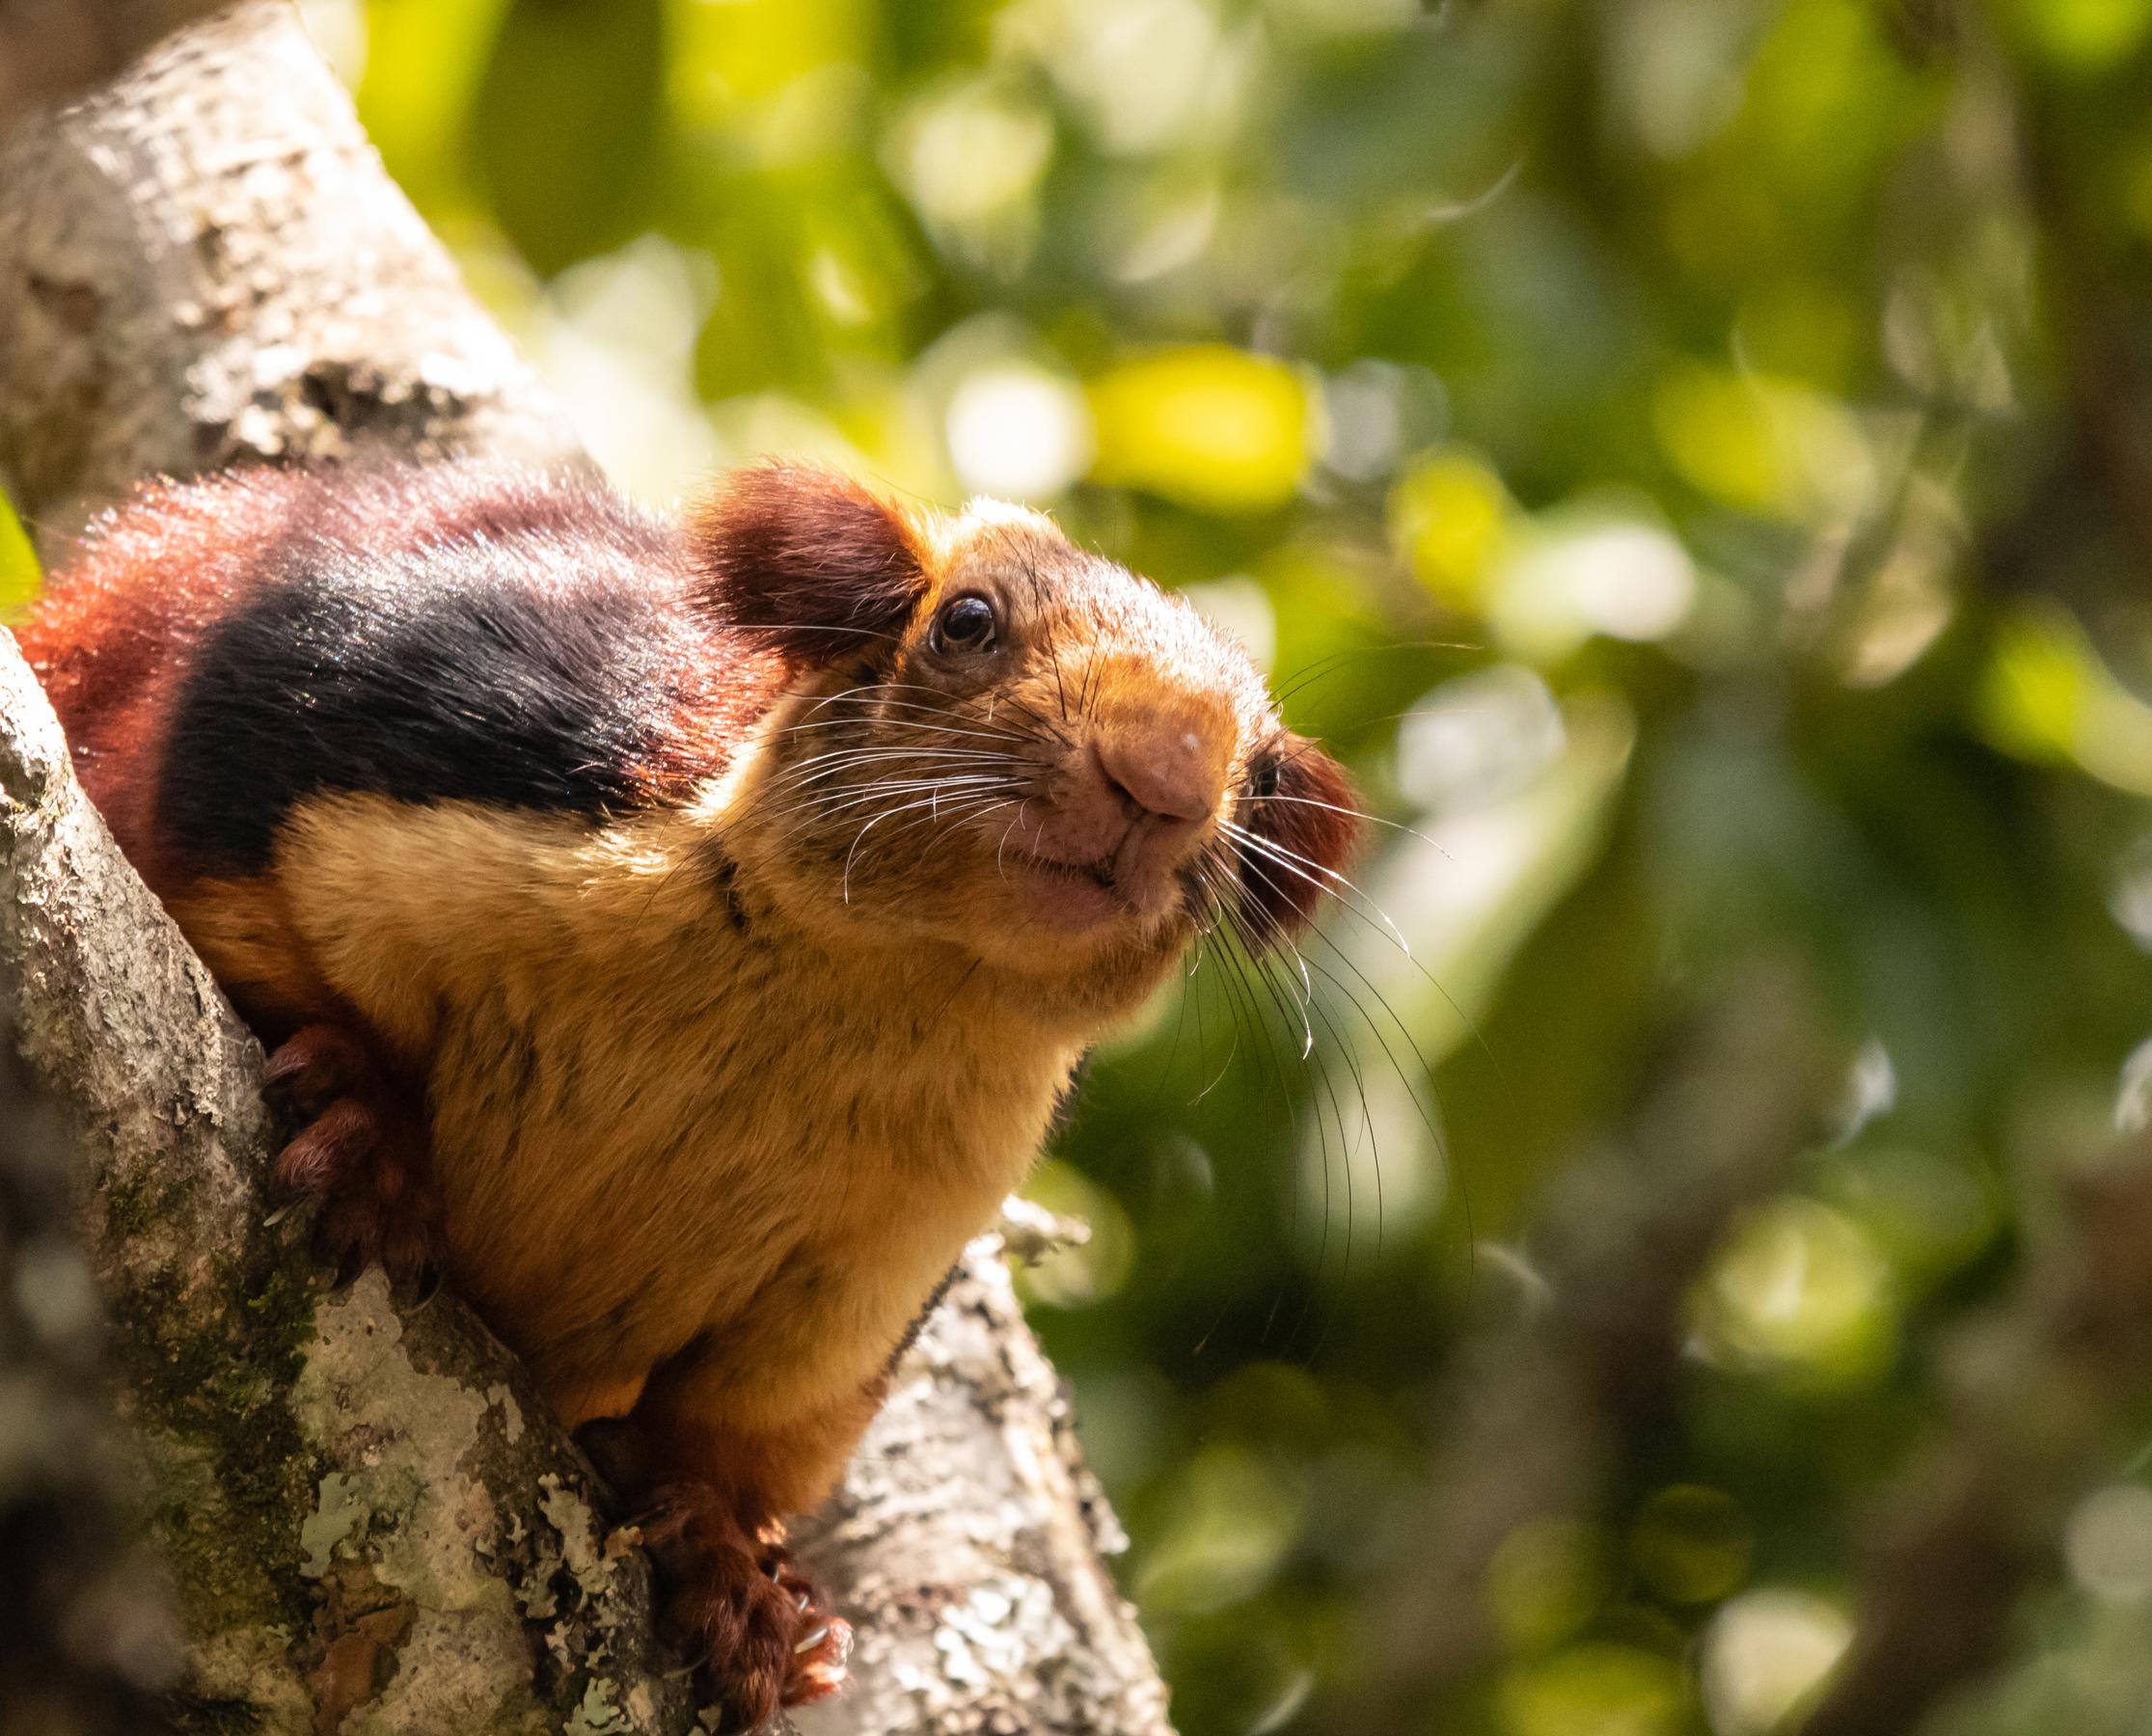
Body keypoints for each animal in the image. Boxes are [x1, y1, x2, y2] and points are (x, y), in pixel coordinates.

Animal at [15, 459, 1362, 1730]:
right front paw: (365, 1116)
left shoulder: (896, 1241)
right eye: (965, 621)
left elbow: (761, 1417)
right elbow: (217, 851)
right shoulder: (420, 708)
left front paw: (732, 1574)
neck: (858, 983)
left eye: (1258, 781)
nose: (1162, 775)